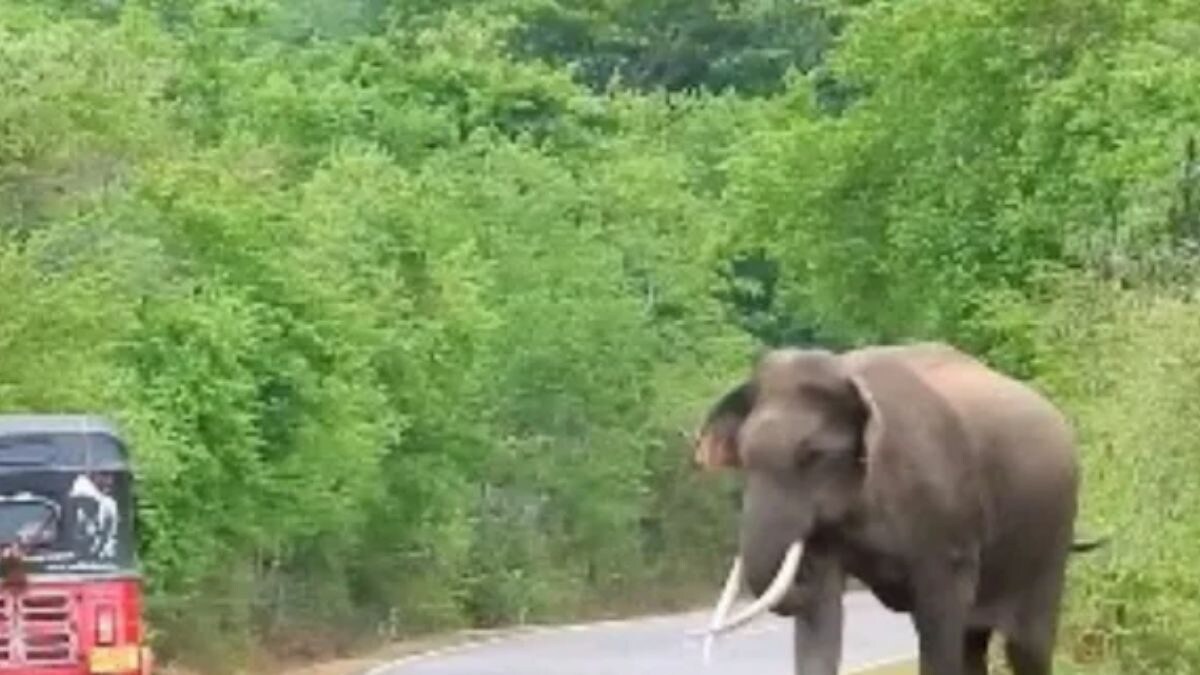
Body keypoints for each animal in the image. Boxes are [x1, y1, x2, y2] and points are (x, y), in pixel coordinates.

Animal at [691, 342, 1102, 675]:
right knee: (974, 642)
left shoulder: (945, 524)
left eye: (813, 455)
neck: (848, 372)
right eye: (743, 458)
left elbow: (940, 621)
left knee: (1027, 646)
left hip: (1051, 537)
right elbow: (820, 620)